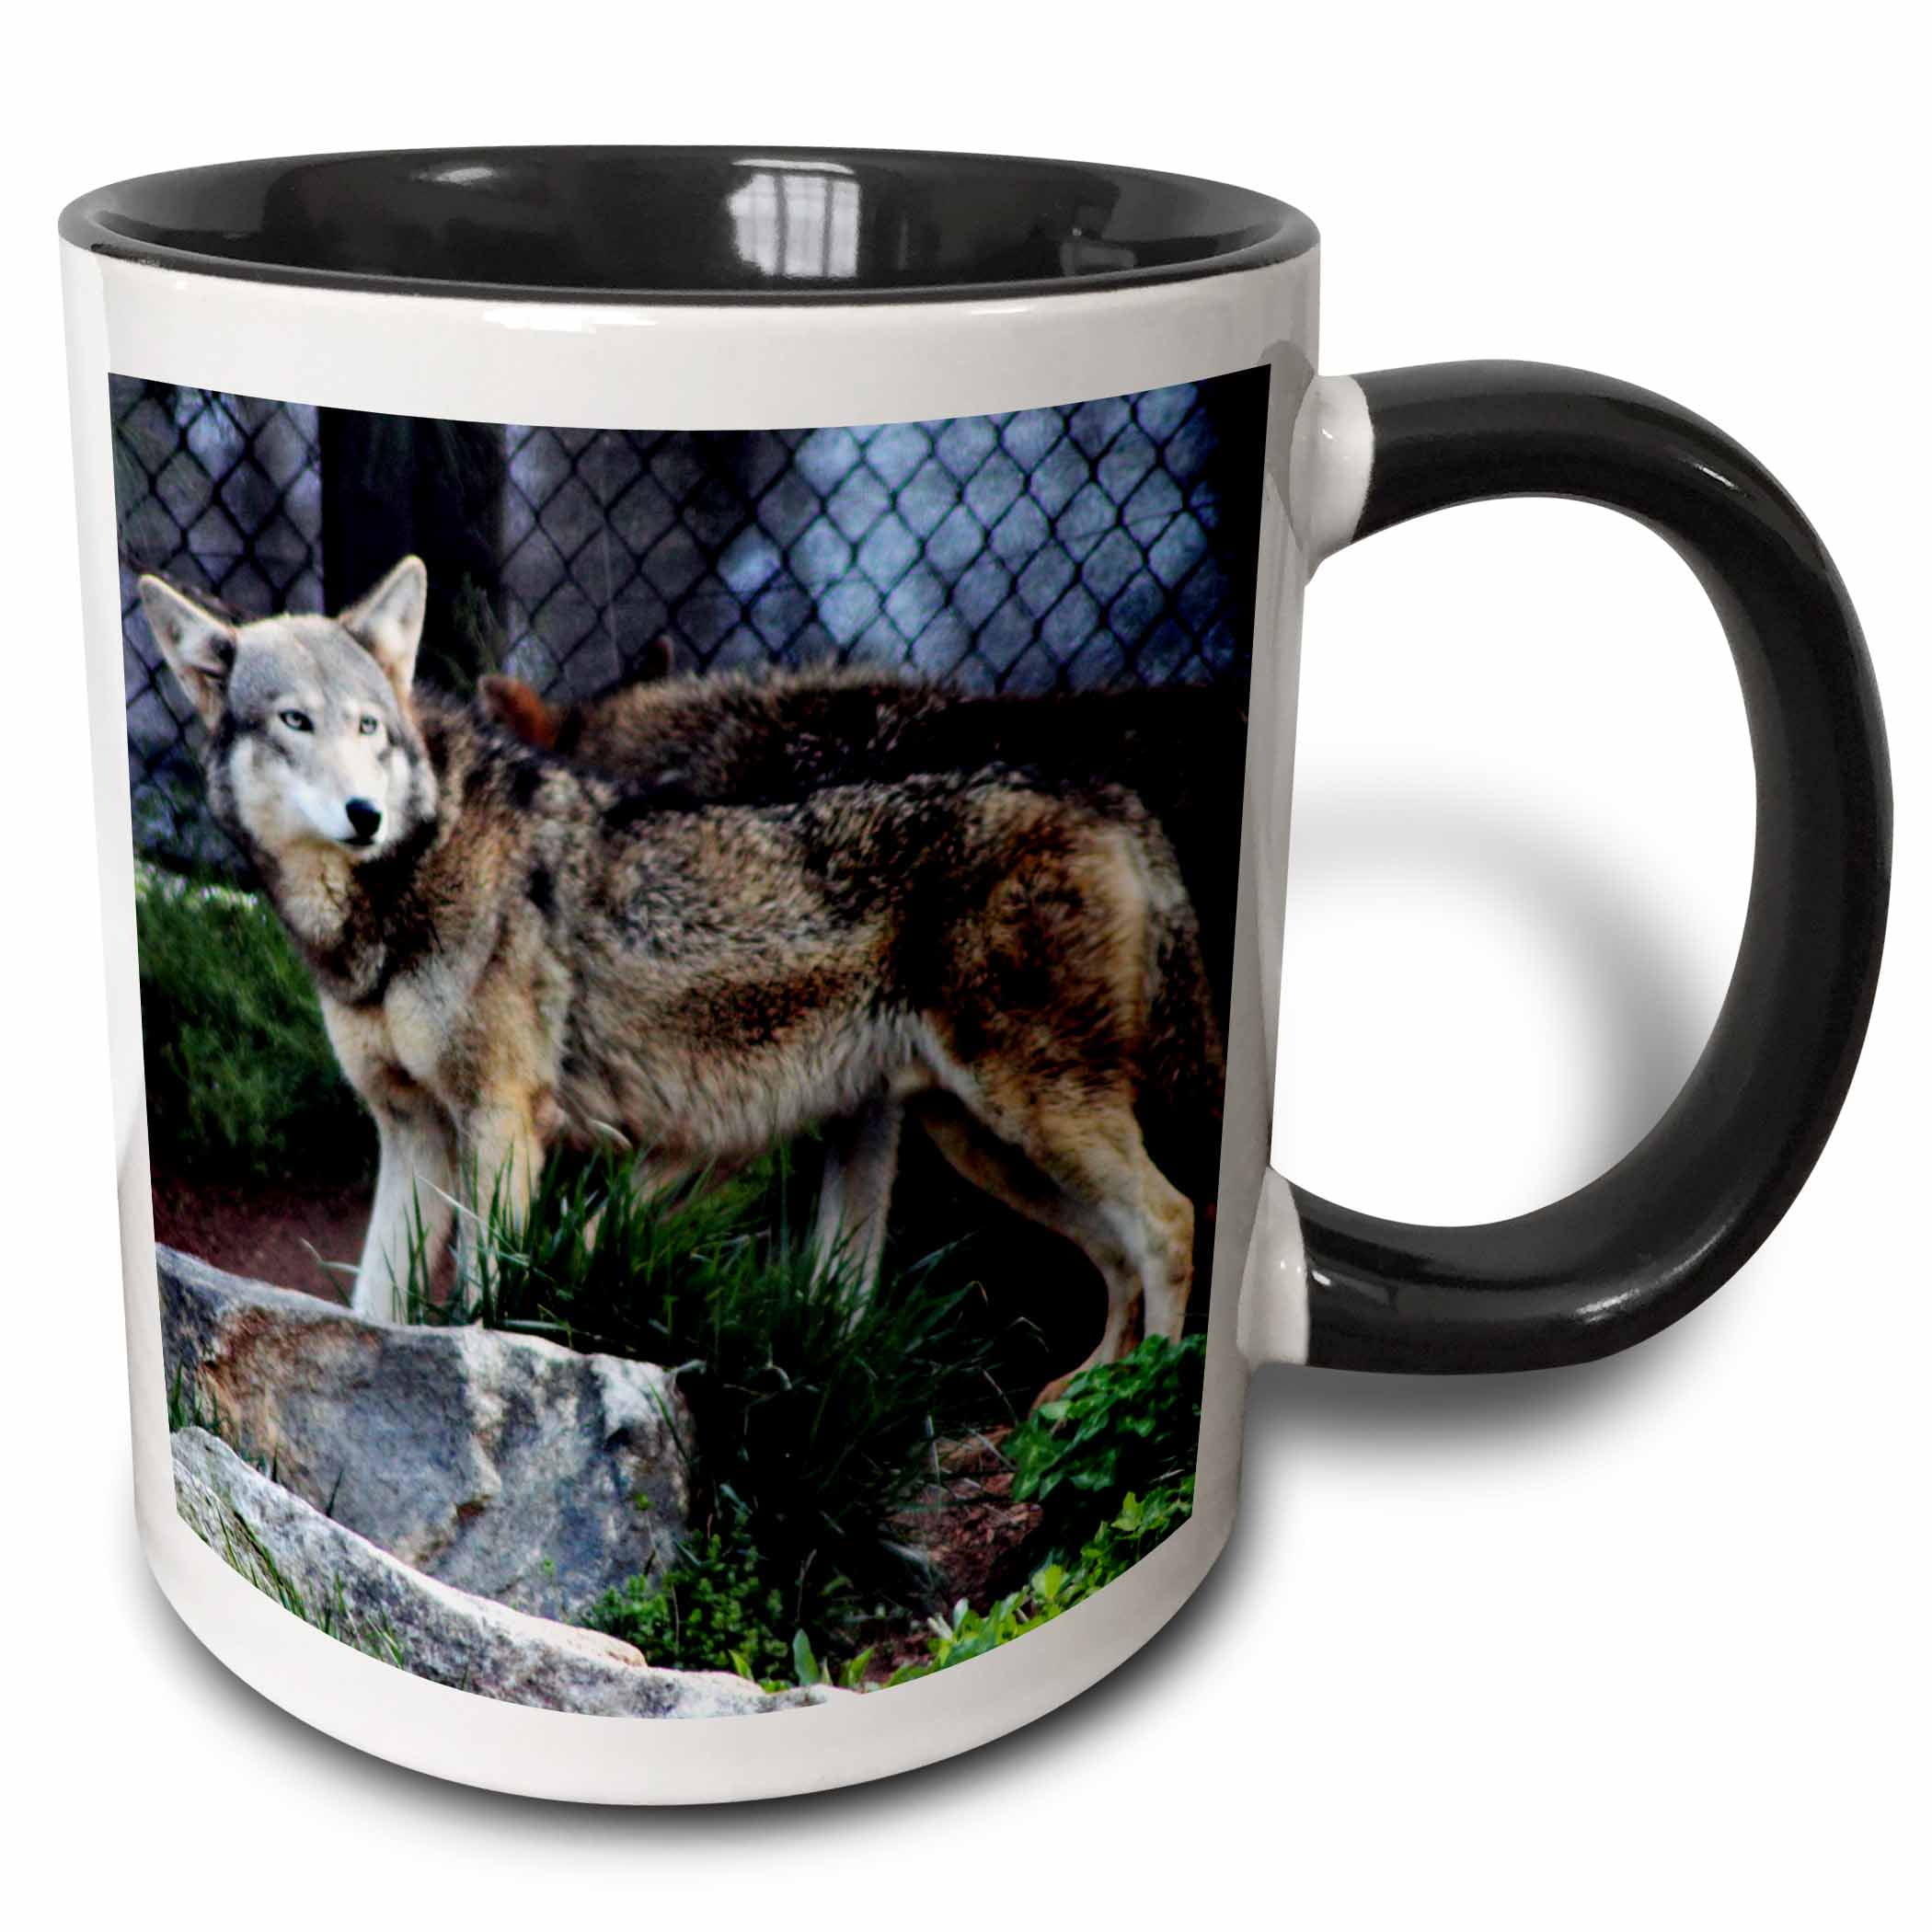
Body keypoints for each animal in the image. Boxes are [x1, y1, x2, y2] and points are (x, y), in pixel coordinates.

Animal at [140, 558, 1222, 1394]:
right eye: (294, 722)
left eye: (368, 727)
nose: (364, 815)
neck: (402, 881)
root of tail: (1103, 792)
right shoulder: (411, 1134)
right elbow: (375, 1307)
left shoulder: (508, 1122)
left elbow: (491, 1295)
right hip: (984, 1141)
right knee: (1121, 1251)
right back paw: (1081, 1400)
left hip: (1027, 1116)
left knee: (1172, 1222)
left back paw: (1140, 1409)